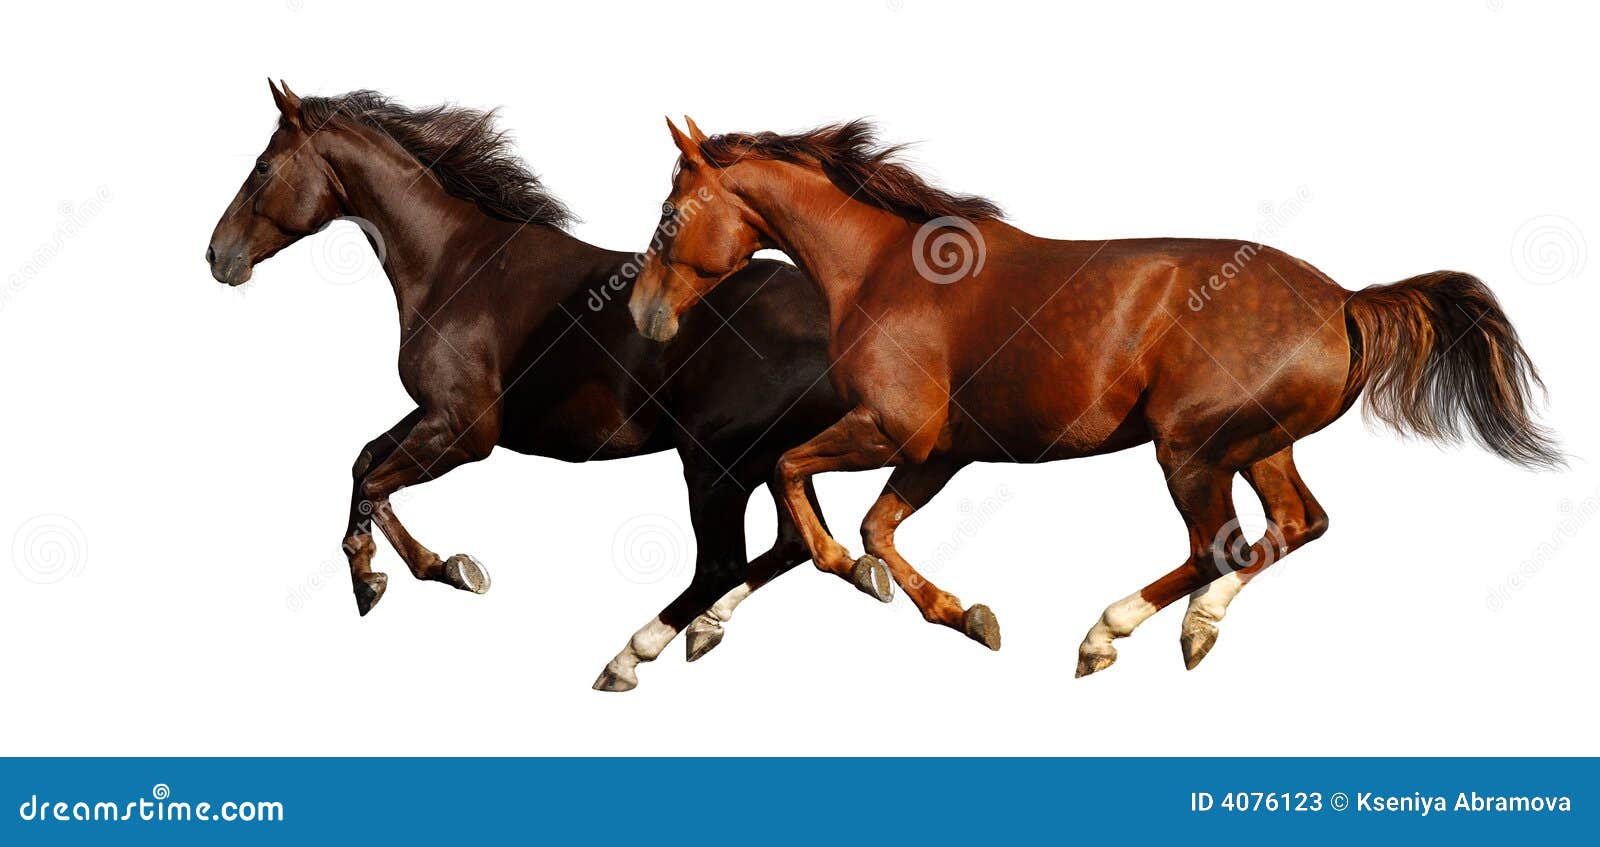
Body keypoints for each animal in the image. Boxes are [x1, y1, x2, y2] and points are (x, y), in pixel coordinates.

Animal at [205, 82, 866, 692]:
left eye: (262, 166)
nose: (216, 255)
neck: (455, 262)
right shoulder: (435, 415)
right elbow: (364, 463)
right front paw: (413, 572)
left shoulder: (465, 431)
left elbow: (373, 481)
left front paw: (408, 574)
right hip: (772, 461)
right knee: (796, 544)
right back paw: (717, 624)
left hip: (714, 465)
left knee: (724, 565)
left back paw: (628, 659)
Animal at [629, 117, 1561, 677]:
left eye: (671, 213)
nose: (642, 314)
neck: (886, 270)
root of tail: (1343, 298)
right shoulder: (940, 452)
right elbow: (876, 526)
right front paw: (962, 614)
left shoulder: (896, 431)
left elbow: (801, 484)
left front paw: (857, 578)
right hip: (1259, 444)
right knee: (1296, 524)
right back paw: (1195, 626)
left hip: (1190, 449)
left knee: (1219, 545)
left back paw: (1109, 633)